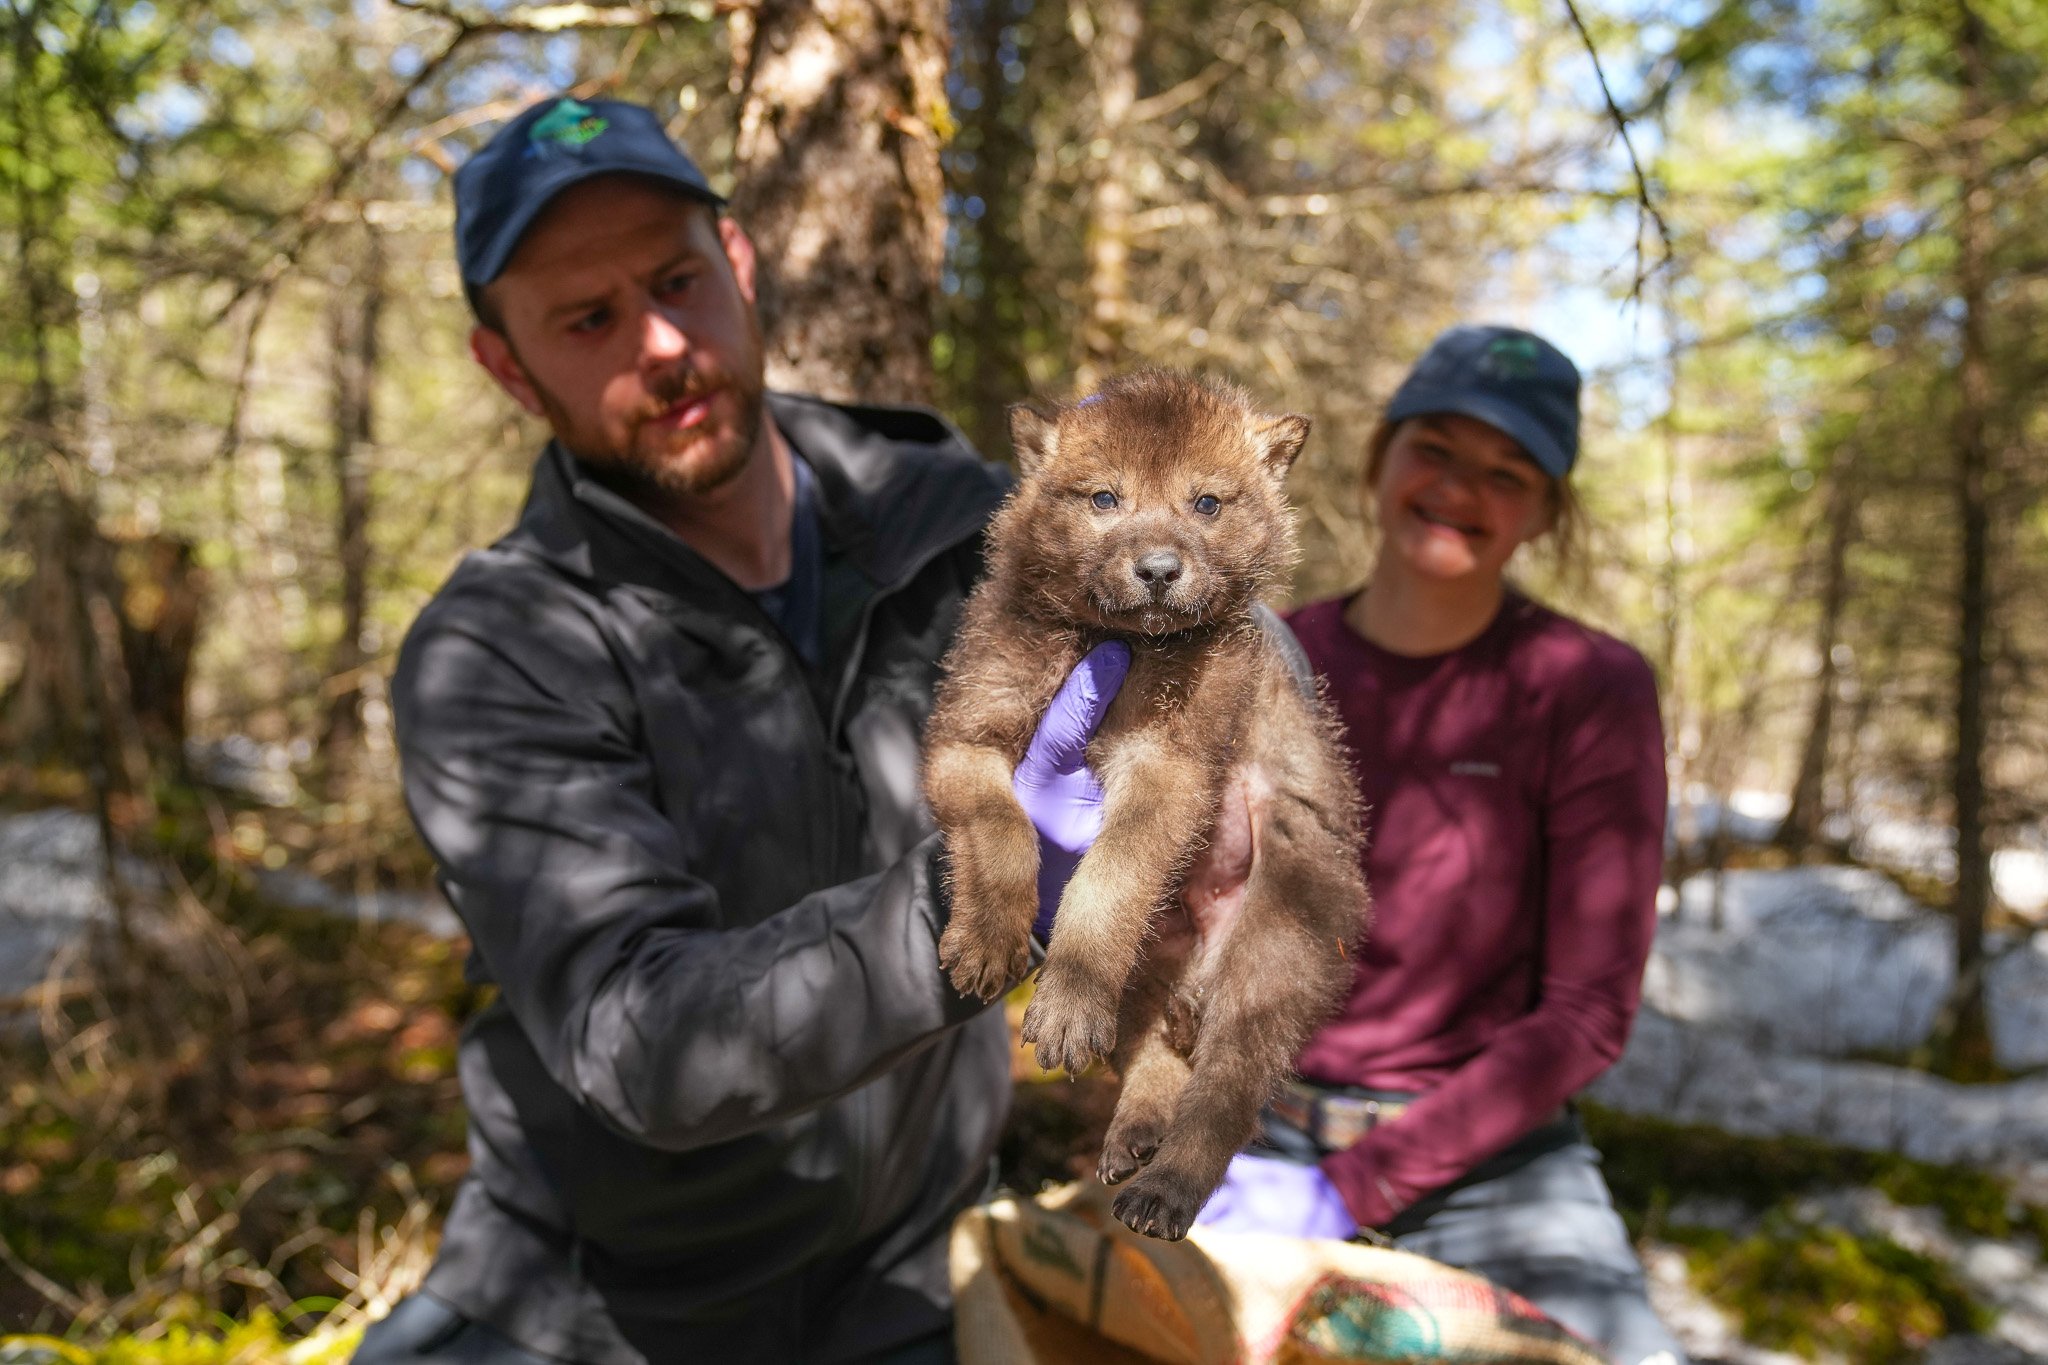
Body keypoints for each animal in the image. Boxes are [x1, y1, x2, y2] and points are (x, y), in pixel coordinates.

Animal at [923, 370, 1367, 1241]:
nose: (1159, 569)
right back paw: (1132, 1133)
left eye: (1207, 503)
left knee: (1223, 1101)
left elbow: (1108, 880)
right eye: (1104, 498)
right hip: (1152, 976)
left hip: (1275, 952)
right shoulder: (968, 736)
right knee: (1158, 1057)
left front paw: (1064, 1002)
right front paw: (989, 938)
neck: (1113, 640)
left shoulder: (1168, 769)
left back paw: (1166, 1187)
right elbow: (1003, 828)